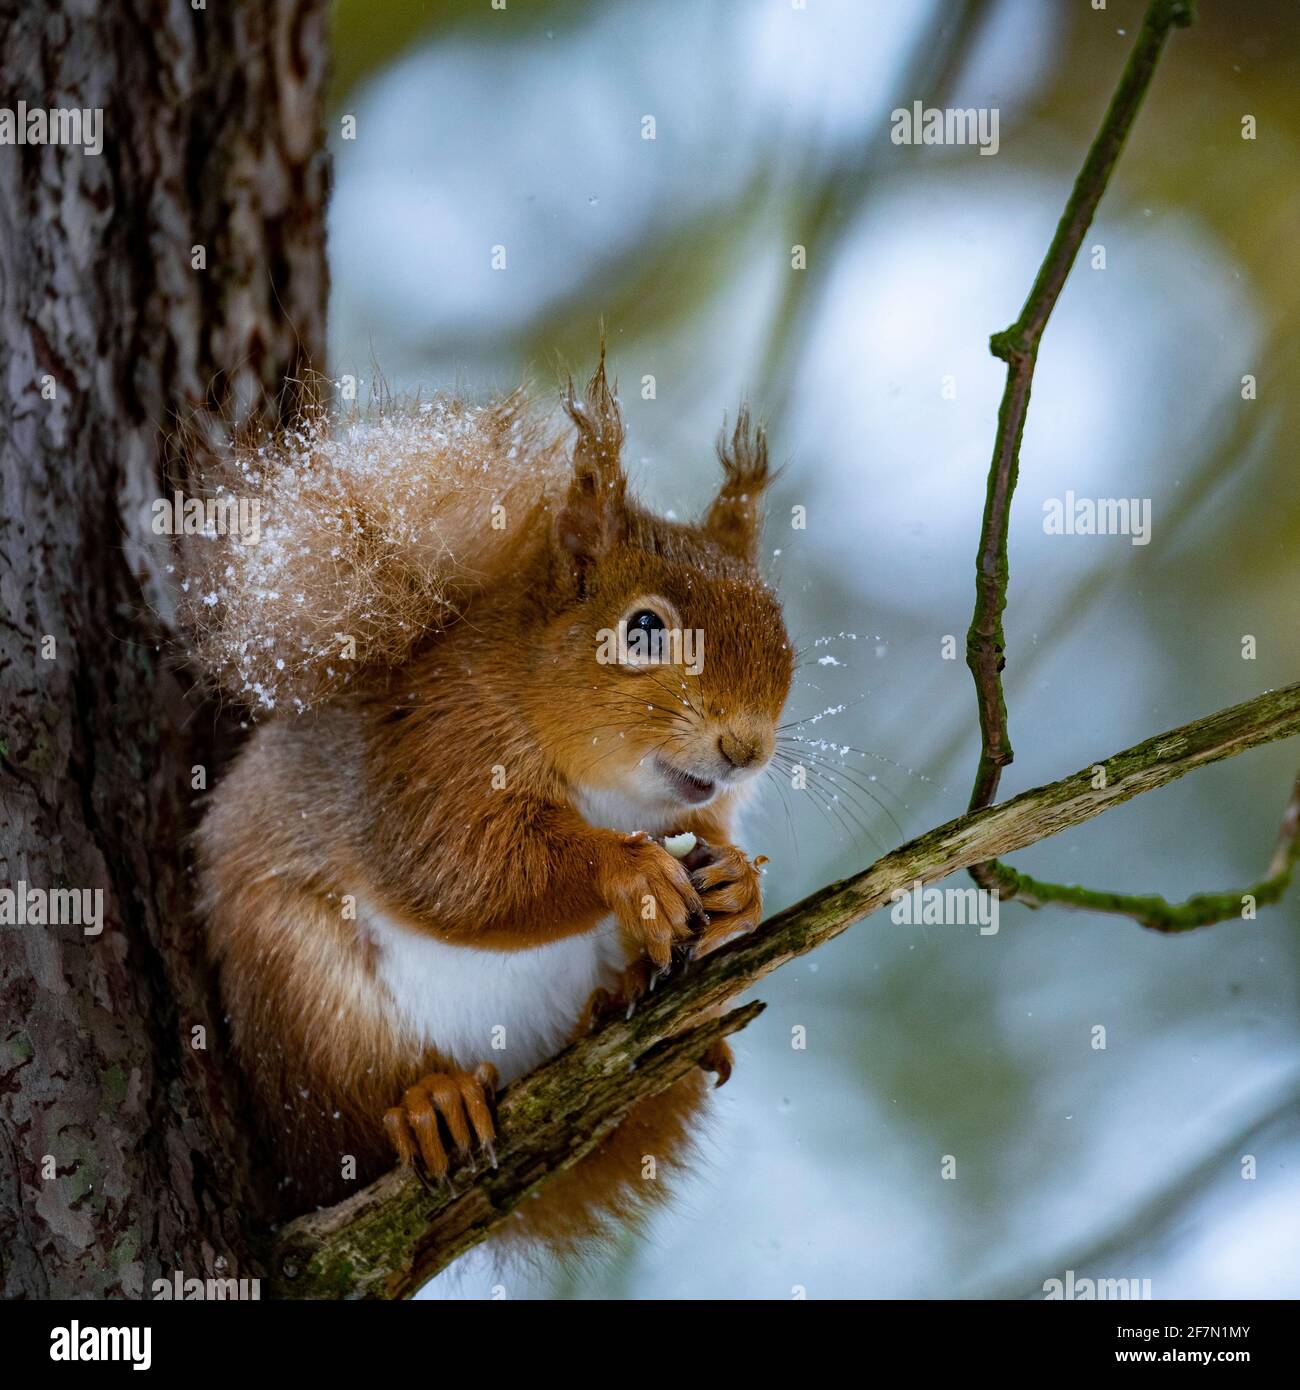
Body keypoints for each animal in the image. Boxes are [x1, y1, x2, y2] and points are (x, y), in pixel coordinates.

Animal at [189, 351, 793, 1254]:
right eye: (644, 630)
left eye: (782, 634)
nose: (745, 750)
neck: (614, 793)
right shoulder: (436, 756)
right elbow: (469, 875)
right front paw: (628, 873)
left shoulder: (696, 812)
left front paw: (739, 887)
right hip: (304, 998)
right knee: (352, 1133)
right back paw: (429, 1103)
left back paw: (619, 1009)